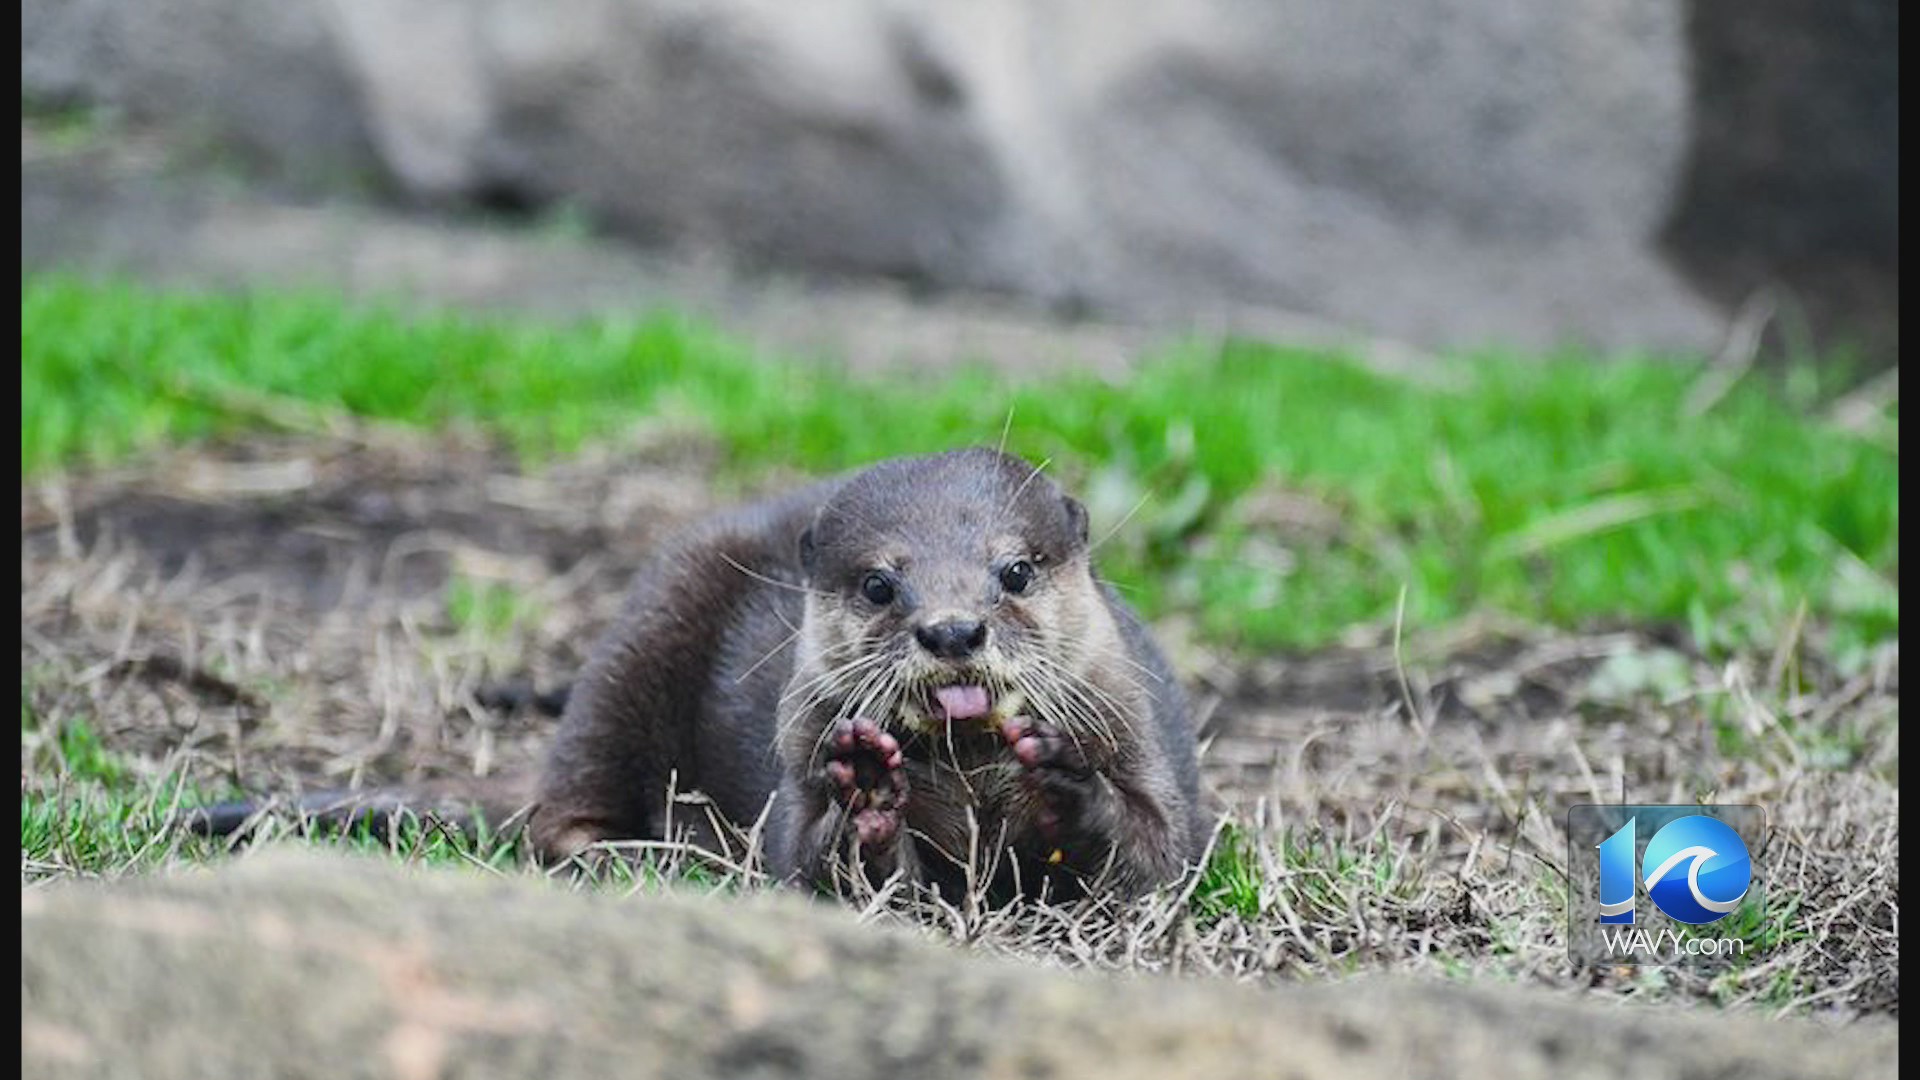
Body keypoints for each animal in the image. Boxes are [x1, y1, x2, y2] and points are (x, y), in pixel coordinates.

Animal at [198, 450, 1207, 899]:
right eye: (881, 584)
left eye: (1016, 572)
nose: (952, 630)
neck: (972, 792)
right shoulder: (797, 766)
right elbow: (816, 866)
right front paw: (864, 791)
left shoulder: (1147, 745)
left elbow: (1152, 858)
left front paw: (1065, 777)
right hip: (643, 629)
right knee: (558, 814)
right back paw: (659, 860)